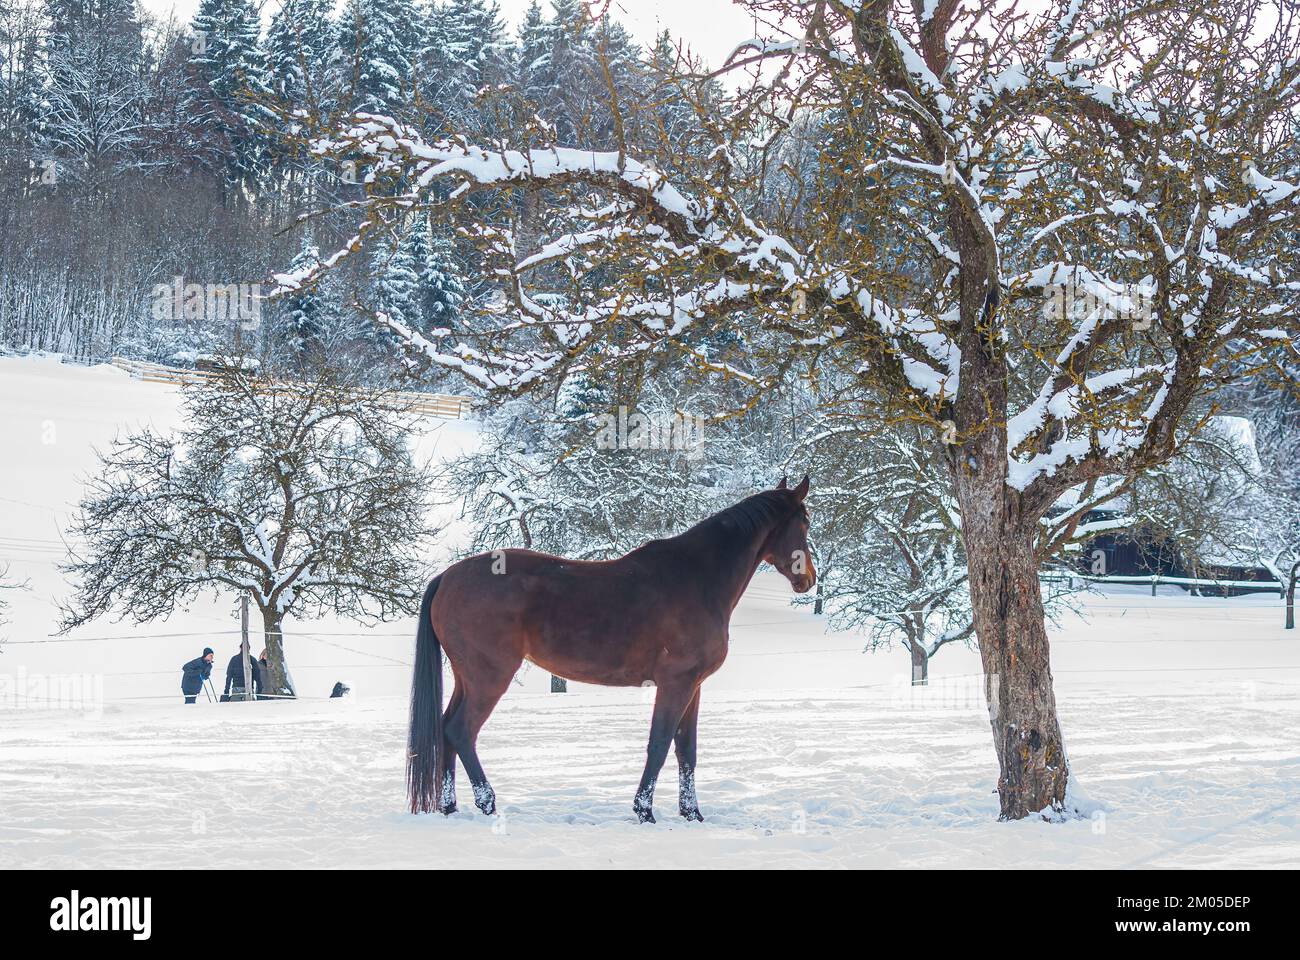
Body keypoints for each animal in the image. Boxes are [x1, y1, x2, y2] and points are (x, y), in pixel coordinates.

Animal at [407, 475, 815, 823]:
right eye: (805, 523)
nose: (808, 579)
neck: (699, 579)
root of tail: (448, 577)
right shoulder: (676, 684)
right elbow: (659, 744)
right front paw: (645, 811)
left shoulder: (694, 687)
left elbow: (687, 750)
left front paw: (692, 814)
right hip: (489, 678)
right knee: (461, 731)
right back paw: (488, 804)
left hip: (467, 678)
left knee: (445, 730)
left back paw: (450, 807)